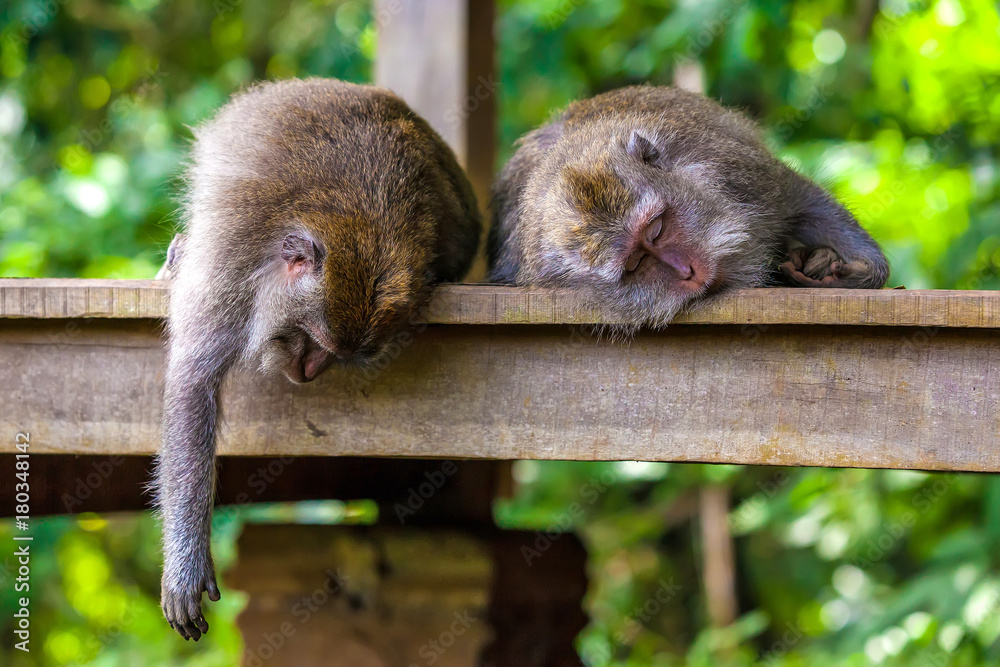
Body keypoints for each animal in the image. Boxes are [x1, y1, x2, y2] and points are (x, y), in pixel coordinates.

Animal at [155, 78, 481, 640]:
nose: (309, 371)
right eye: (310, 338)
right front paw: (186, 563)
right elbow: (192, 384)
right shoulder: (231, 263)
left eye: (339, 355)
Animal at [487, 86, 889, 329]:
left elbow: (799, 200)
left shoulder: (737, 172)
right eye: (634, 264)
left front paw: (864, 271)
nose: (688, 271)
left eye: (657, 228)